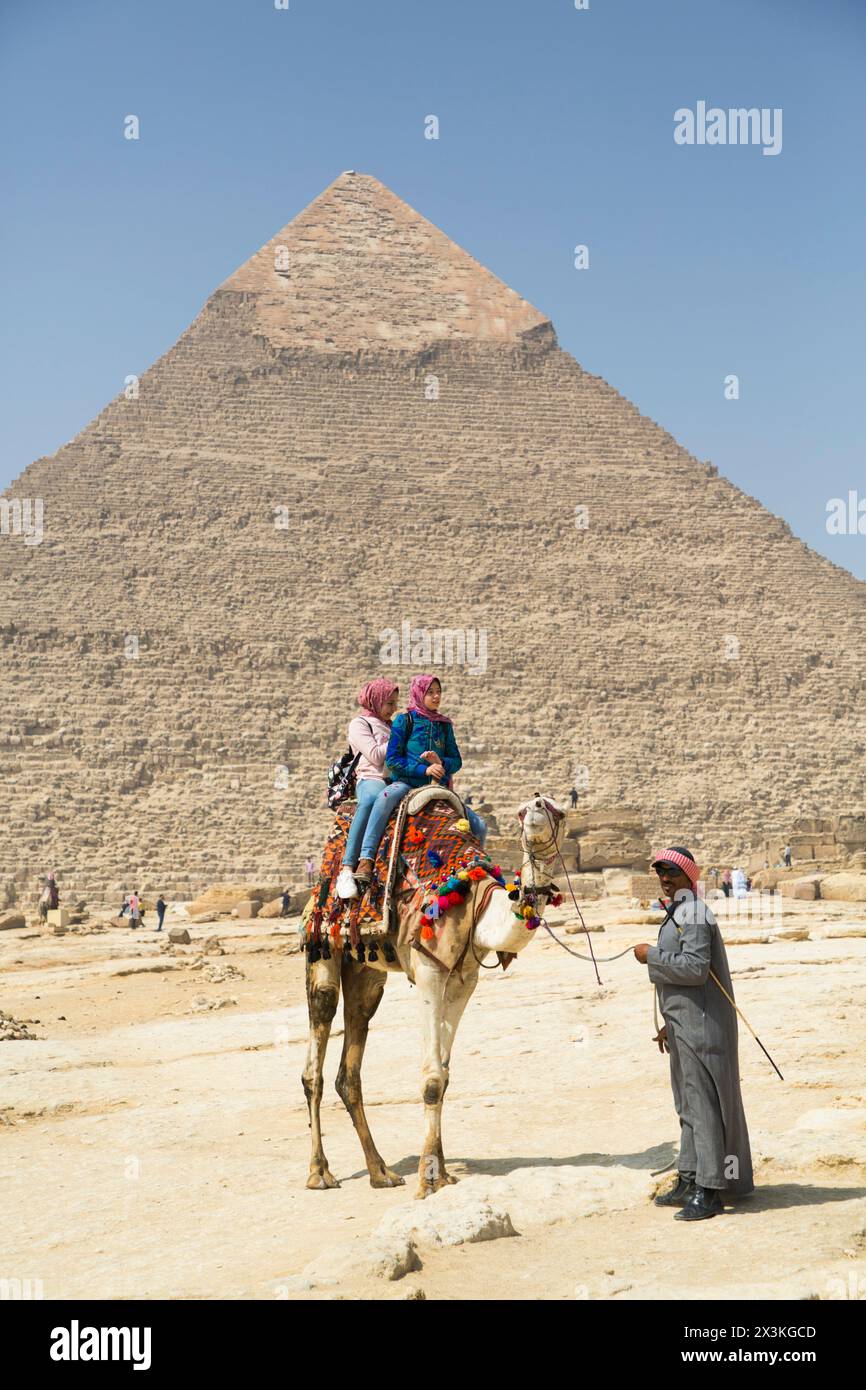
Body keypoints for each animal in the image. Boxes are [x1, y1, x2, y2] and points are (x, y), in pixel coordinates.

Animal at [301, 794, 568, 1199]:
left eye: (559, 811)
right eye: (524, 810)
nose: (537, 805)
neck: (474, 903)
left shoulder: (464, 980)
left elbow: (443, 1075)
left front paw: (440, 1171)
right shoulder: (428, 970)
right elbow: (430, 1079)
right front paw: (428, 1180)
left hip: (365, 970)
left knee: (352, 1055)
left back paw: (381, 1172)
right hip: (322, 944)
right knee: (317, 1048)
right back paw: (320, 1173)